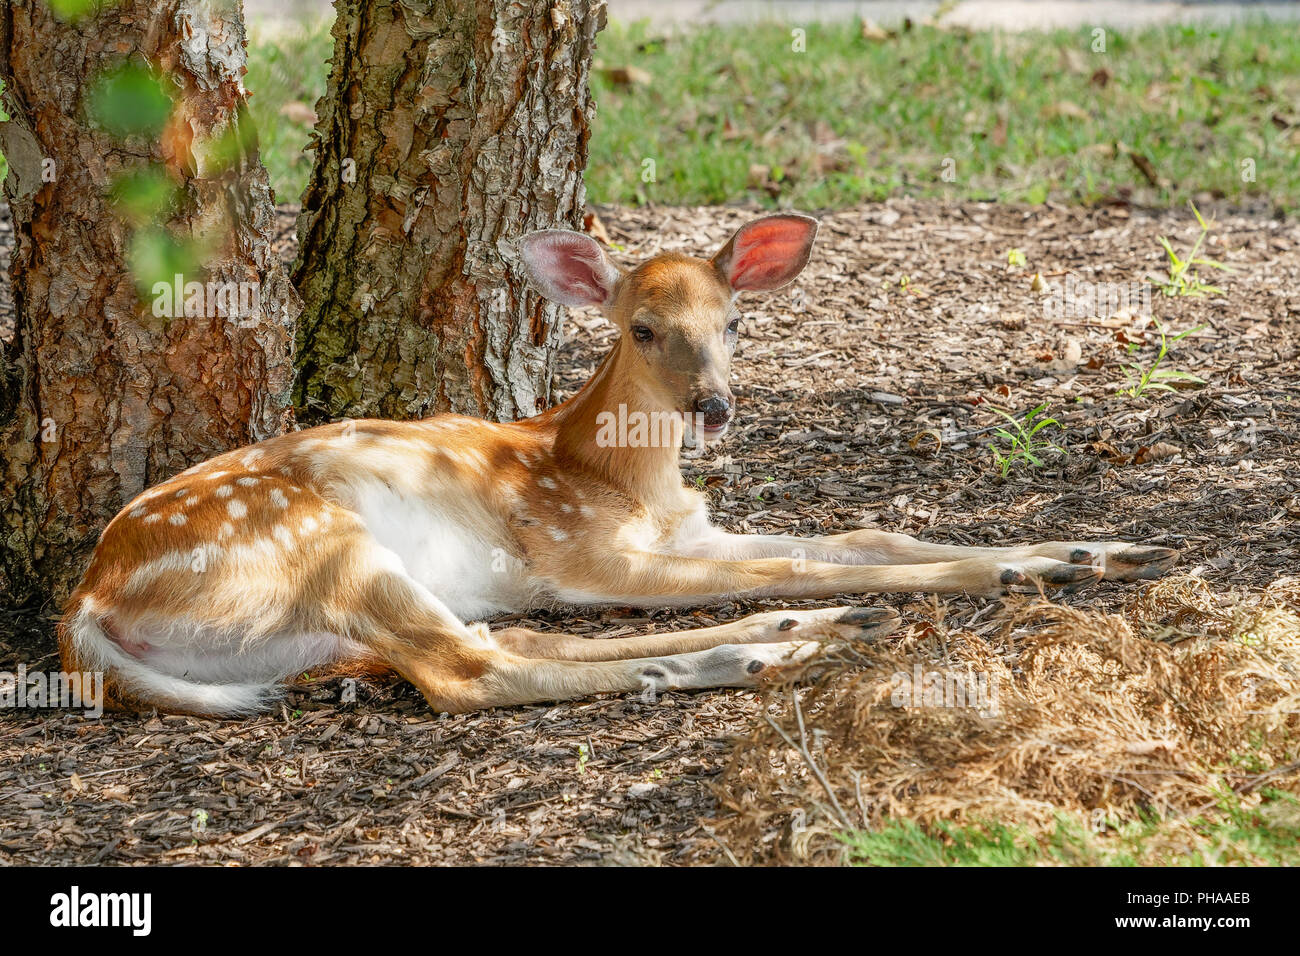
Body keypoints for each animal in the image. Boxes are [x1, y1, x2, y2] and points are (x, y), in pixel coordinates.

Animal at [58, 213, 1179, 716]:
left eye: (734, 322)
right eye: (642, 328)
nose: (714, 407)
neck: (614, 477)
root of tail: (86, 604)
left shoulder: (691, 526)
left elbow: (863, 530)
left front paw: (1098, 547)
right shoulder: (585, 554)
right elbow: (795, 559)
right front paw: (1021, 567)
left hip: (293, 635)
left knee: (476, 642)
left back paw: (793, 637)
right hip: (317, 537)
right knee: (467, 668)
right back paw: (776, 646)